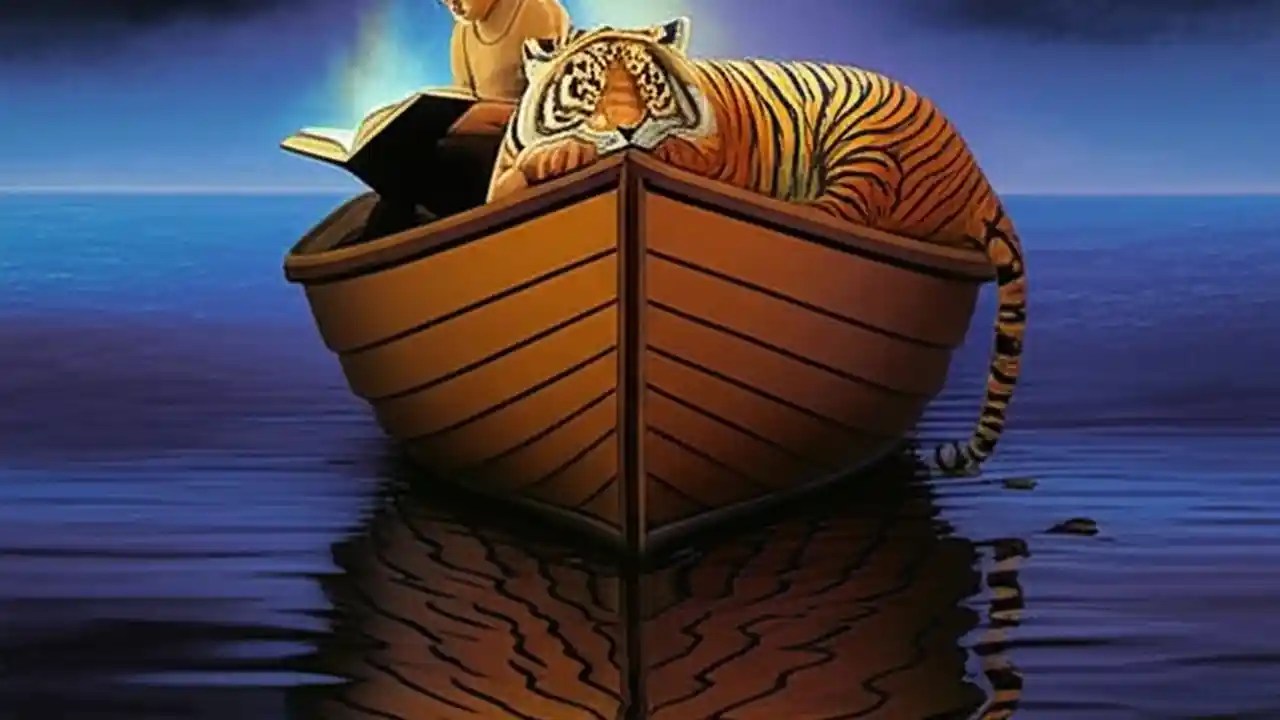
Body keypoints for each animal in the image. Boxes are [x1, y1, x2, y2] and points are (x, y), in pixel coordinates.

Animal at [486, 17, 1028, 476]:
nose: (627, 128)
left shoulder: (703, 153)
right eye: (590, 87)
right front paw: (559, 155)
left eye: (649, 86)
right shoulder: (501, 181)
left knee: (840, 211)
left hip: (870, 143)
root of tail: (977, 177)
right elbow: (519, 173)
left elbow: (667, 148)